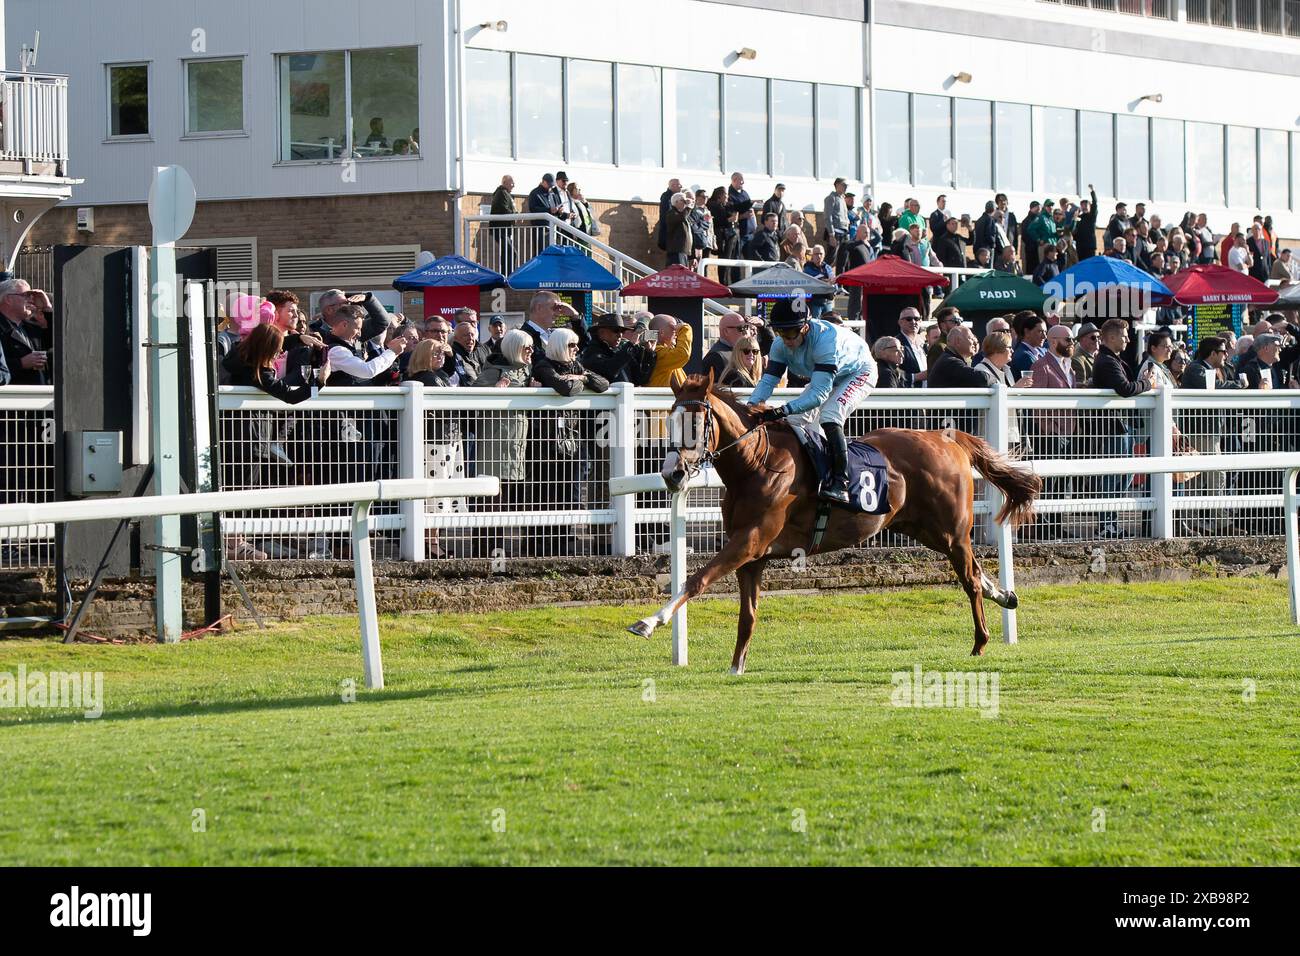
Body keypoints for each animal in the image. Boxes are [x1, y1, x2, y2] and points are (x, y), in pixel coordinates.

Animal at [628, 373, 1042, 672]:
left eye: (695, 424)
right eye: (669, 420)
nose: (671, 473)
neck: (756, 463)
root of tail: (945, 436)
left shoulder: (750, 541)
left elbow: (697, 580)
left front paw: (647, 622)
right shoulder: (752, 556)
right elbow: (747, 616)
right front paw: (736, 668)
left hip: (952, 530)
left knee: (970, 578)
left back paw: (981, 641)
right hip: (922, 528)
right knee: (975, 571)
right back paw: (1005, 595)